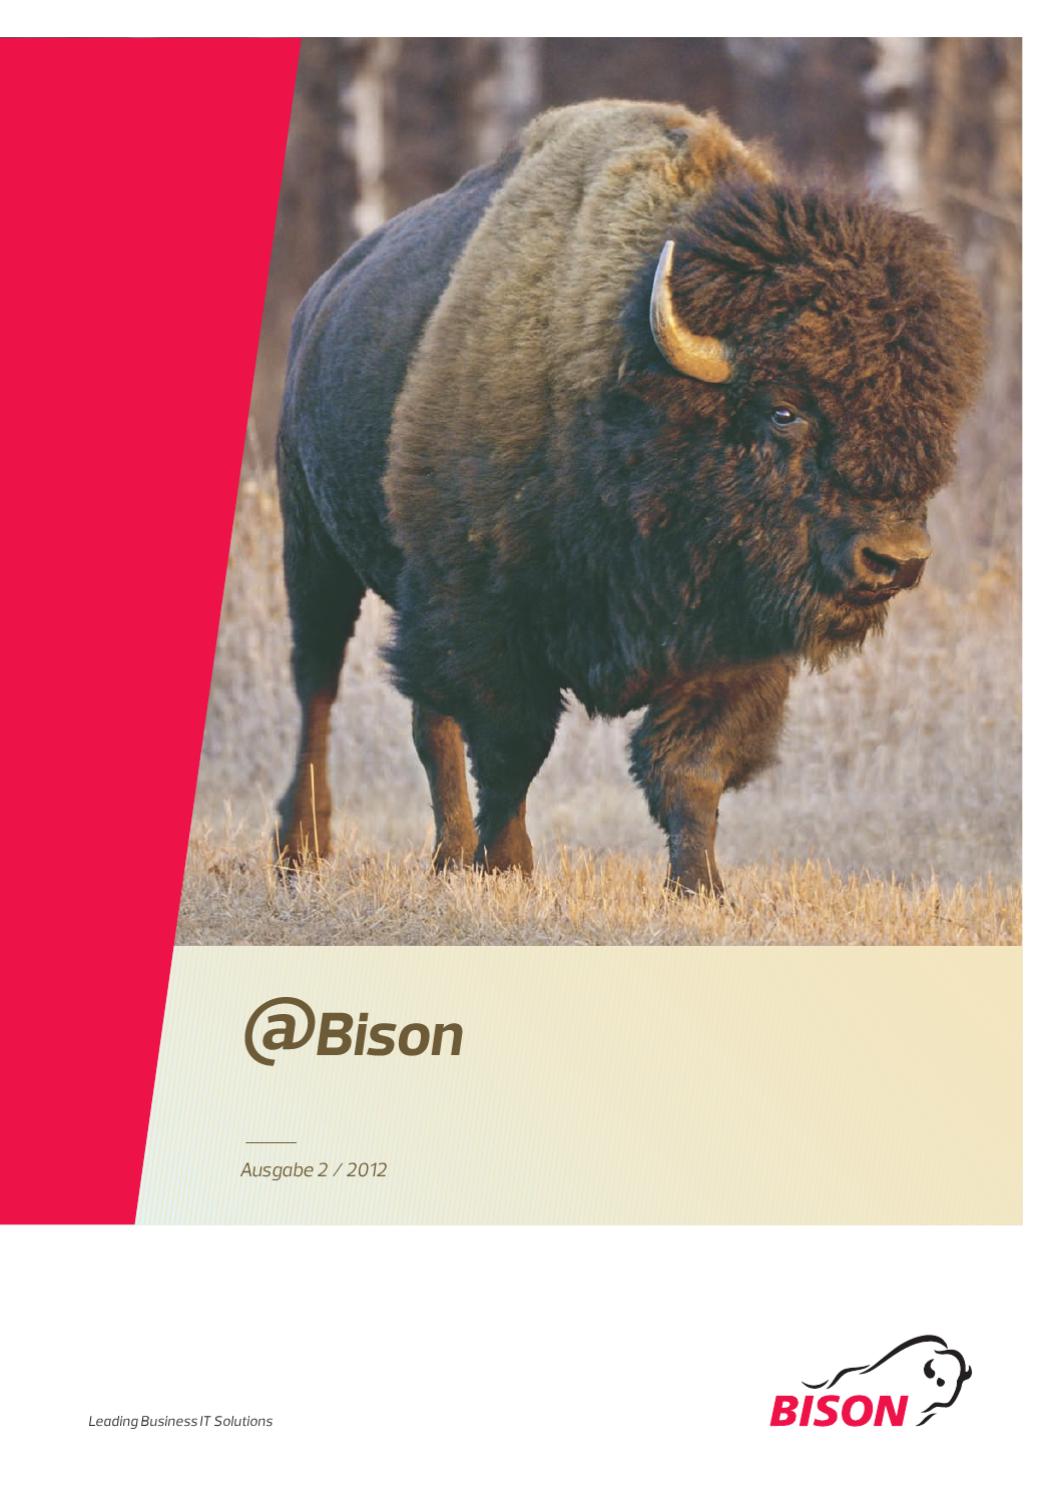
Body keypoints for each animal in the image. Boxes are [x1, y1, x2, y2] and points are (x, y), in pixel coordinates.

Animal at [277, 100, 984, 893]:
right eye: (783, 410)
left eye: (927, 419)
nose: (895, 559)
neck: (627, 396)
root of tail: (318, 303)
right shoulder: (483, 615)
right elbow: (513, 750)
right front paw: (510, 869)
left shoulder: (732, 644)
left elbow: (690, 767)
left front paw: (700, 889)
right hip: (314, 553)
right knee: (319, 689)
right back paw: (303, 849)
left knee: (428, 724)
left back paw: (447, 857)